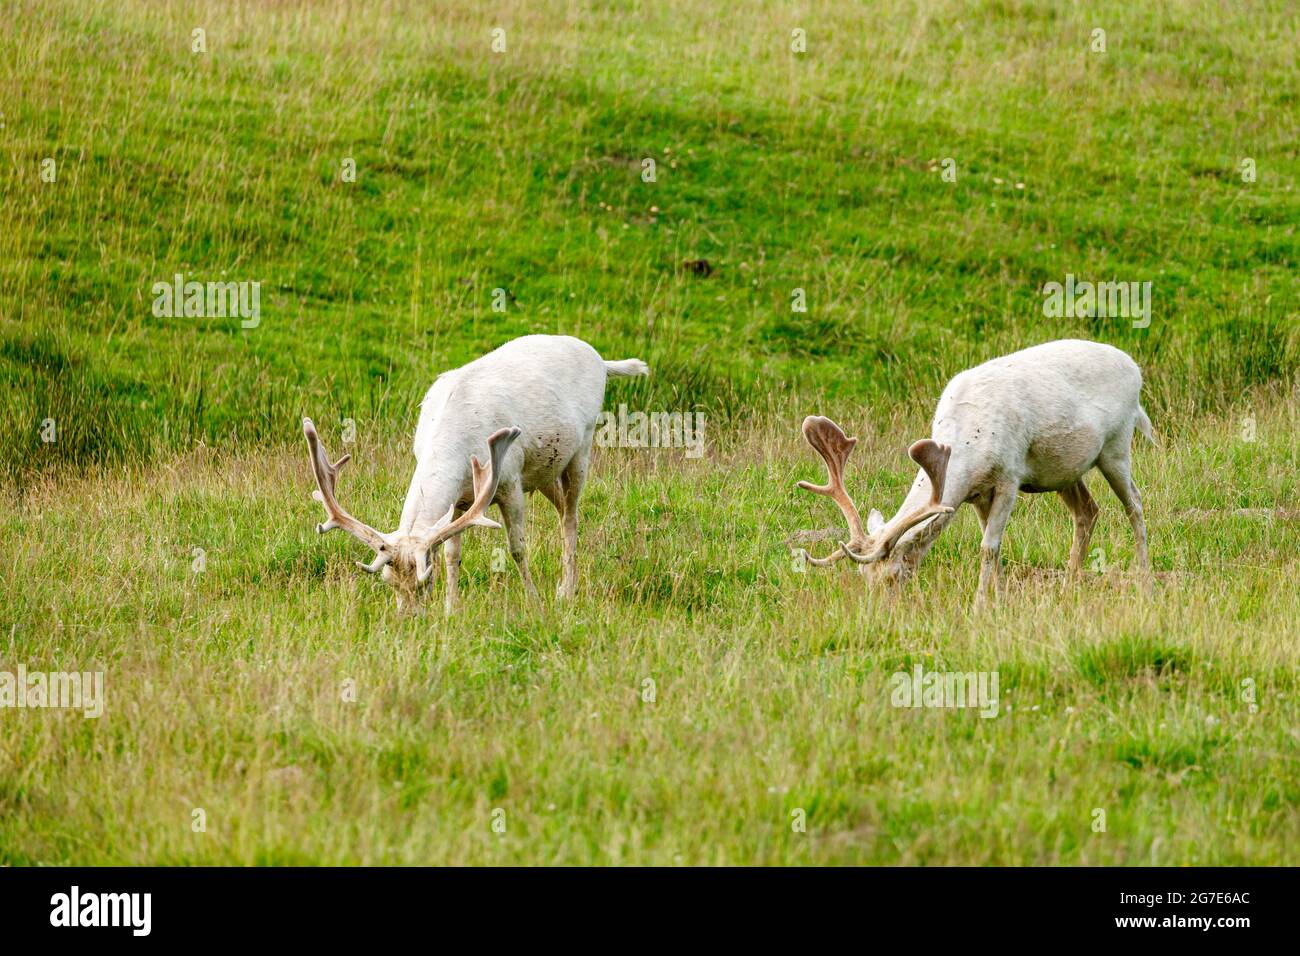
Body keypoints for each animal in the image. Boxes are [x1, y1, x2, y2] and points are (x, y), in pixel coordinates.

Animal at [303, 334, 649, 613]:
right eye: (389, 582)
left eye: (424, 583)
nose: (407, 619)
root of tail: (599, 358)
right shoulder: (460, 499)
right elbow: (451, 553)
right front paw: (451, 609)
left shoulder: (509, 481)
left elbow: (517, 548)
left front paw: (534, 602)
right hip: (547, 471)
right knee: (563, 508)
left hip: (582, 448)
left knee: (571, 516)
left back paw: (566, 591)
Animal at [790, 339, 1153, 605]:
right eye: (865, 578)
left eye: (894, 575)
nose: (877, 611)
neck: (969, 441)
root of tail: (1135, 368)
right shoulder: (978, 492)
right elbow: (993, 545)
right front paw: (997, 596)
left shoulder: (1009, 477)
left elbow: (988, 546)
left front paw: (980, 604)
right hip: (1064, 470)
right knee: (1088, 511)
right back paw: (1068, 585)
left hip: (1117, 446)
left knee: (1135, 503)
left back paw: (1143, 578)